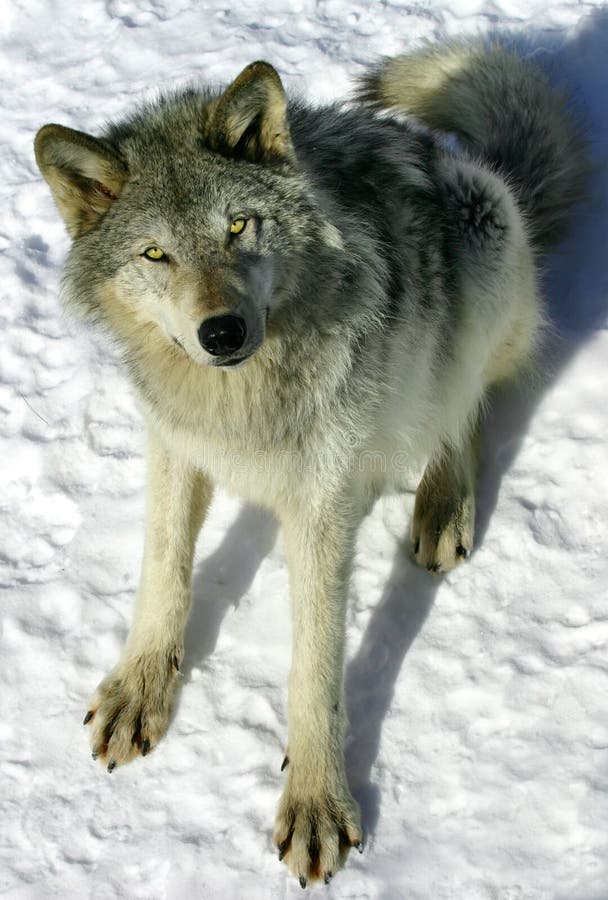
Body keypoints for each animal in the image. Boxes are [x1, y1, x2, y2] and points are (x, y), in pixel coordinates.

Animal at [35, 42, 586, 885]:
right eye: (155, 253)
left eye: (238, 226)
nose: (222, 332)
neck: (239, 402)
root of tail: (477, 164)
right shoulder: (175, 444)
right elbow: (162, 572)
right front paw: (139, 689)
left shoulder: (320, 503)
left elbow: (315, 668)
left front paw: (317, 803)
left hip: (480, 235)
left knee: (461, 410)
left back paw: (442, 503)